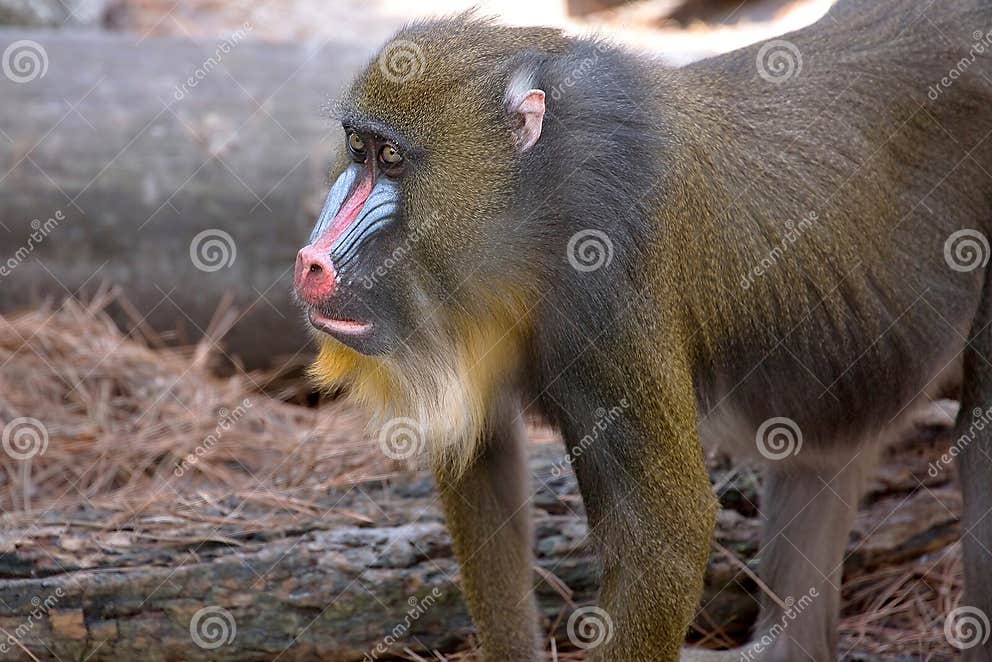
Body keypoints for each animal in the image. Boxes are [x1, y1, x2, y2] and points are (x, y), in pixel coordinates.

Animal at [292, 1, 992, 660]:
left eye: (391, 159)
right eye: (357, 151)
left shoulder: (605, 268)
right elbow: (485, 475)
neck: (533, 206)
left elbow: (666, 531)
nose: (310, 263)